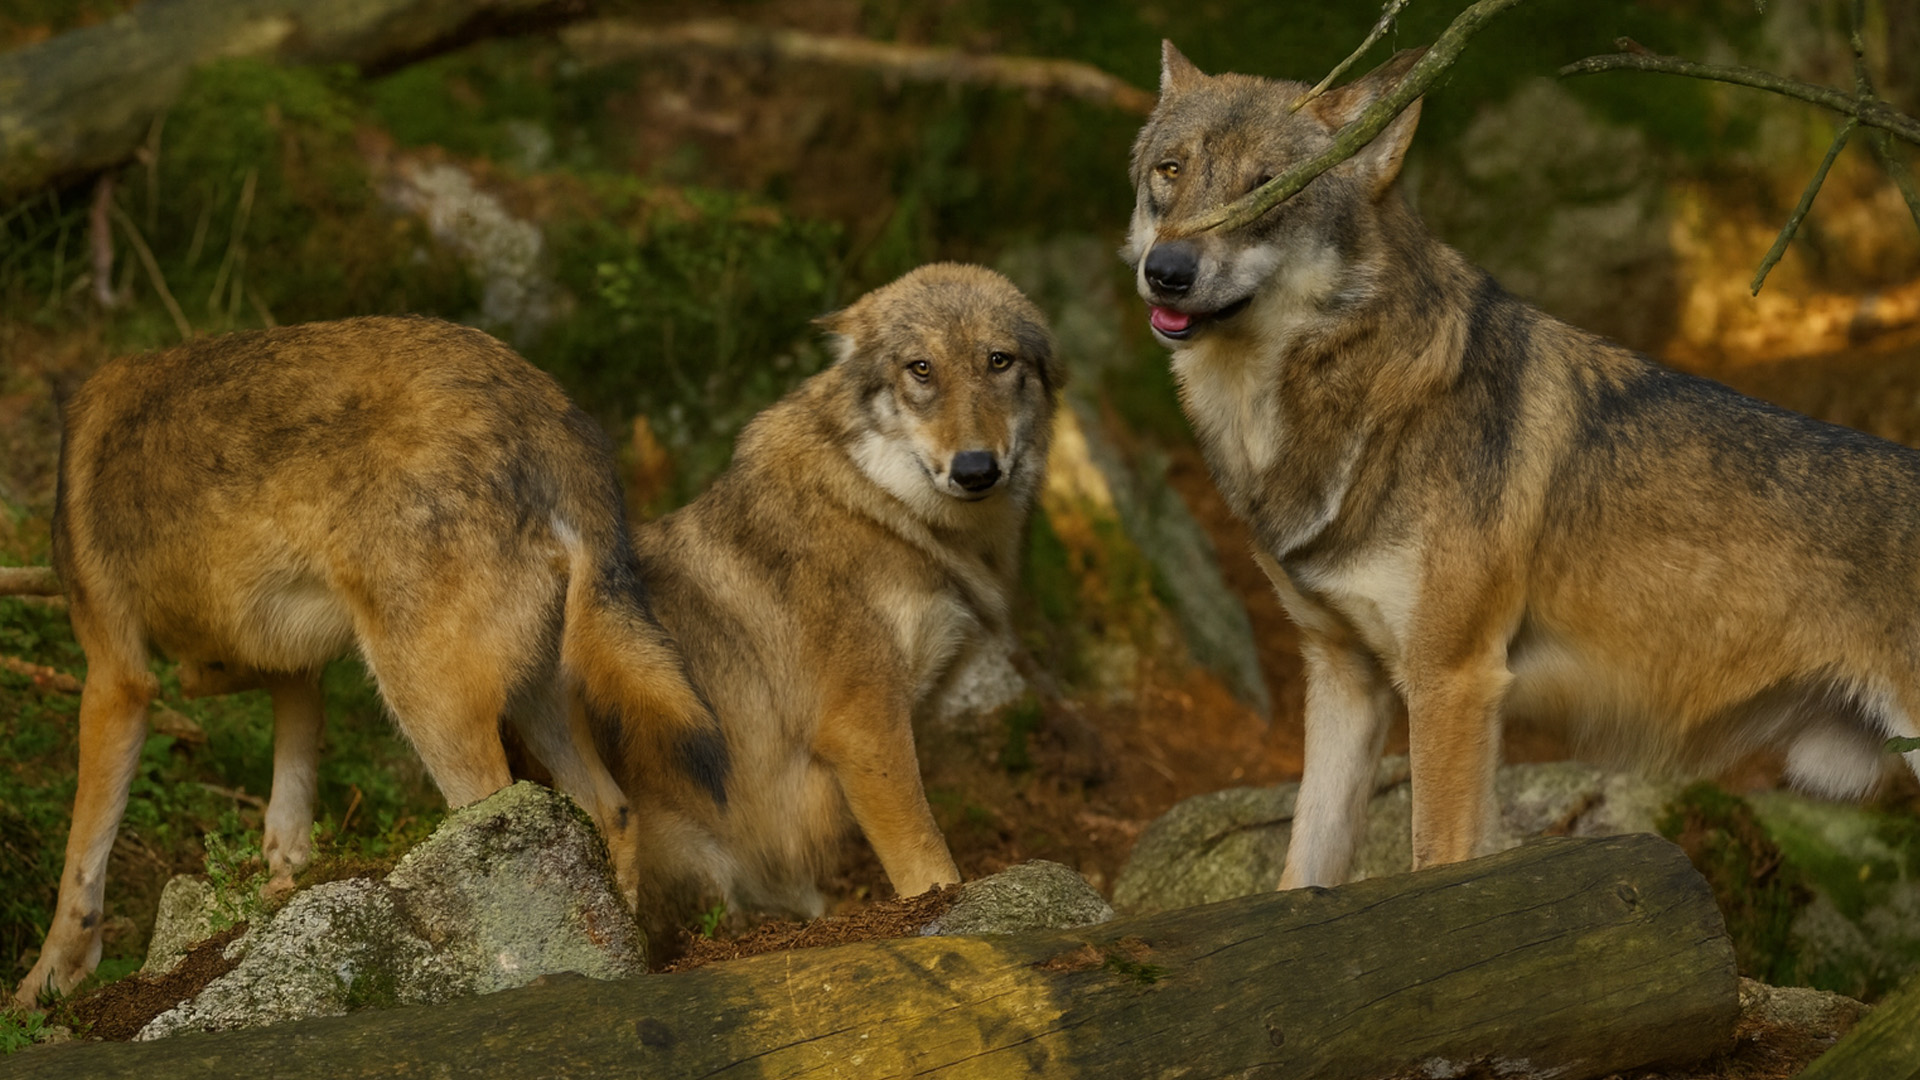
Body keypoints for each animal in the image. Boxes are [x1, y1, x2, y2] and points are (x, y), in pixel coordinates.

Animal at [15, 316, 719, 1006]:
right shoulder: (286, 660)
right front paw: (282, 878)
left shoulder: (116, 678)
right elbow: (288, 782)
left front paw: (45, 981)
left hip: (429, 711)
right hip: (538, 702)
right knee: (610, 811)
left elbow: (80, 858)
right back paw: (617, 954)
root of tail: (553, 418)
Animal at [605, 263, 1058, 947]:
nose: (976, 469)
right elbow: (925, 857)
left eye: (998, 361)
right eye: (921, 369)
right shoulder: (862, 725)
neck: (882, 507)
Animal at [1125, 43, 1920, 890]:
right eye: (1171, 170)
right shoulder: (1347, 682)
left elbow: (1437, 863)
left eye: (1267, 186)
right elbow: (1303, 871)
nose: (1167, 270)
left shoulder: (1454, 683)